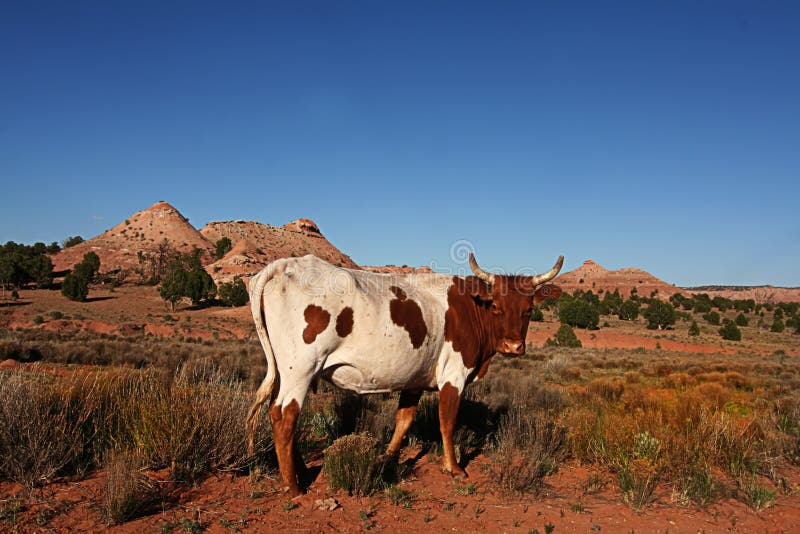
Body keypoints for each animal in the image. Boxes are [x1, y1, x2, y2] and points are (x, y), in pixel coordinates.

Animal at [245, 252, 564, 496]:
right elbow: (447, 422)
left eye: (529, 309)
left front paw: (387, 458)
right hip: (300, 369)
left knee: (278, 412)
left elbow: (404, 420)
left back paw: (298, 471)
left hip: (285, 372)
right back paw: (293, 486)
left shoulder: (415, 379)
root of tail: (285, 264)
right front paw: (454, 467)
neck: (471, 307)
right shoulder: (454, 375)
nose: (513, 346)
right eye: (496, 306)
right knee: (284, 415)